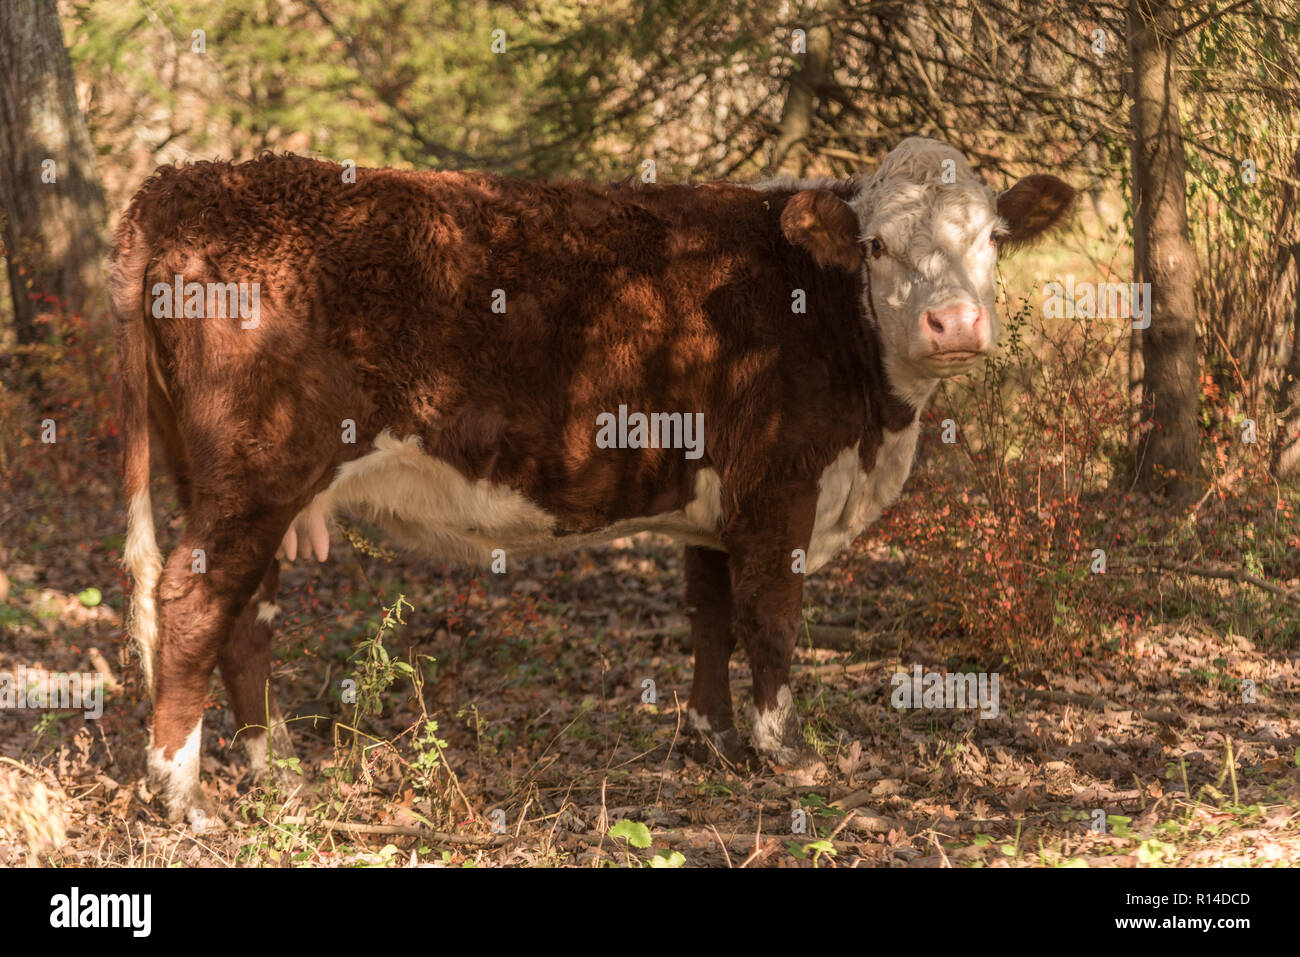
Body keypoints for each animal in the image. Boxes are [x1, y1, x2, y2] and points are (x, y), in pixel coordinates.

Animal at [110, 137, 1073, 824]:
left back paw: (276, 771)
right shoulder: (778, 485)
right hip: (255, 473)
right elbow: (770, 618)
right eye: (876, 244)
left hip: (237, 482)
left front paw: (713, 740)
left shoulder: (715, 503)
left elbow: (709, 616)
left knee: (247, 615)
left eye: (993, 238)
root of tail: (191, 182)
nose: (957, 324)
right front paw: (783, 750)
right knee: (193, 601)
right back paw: (183, 795)